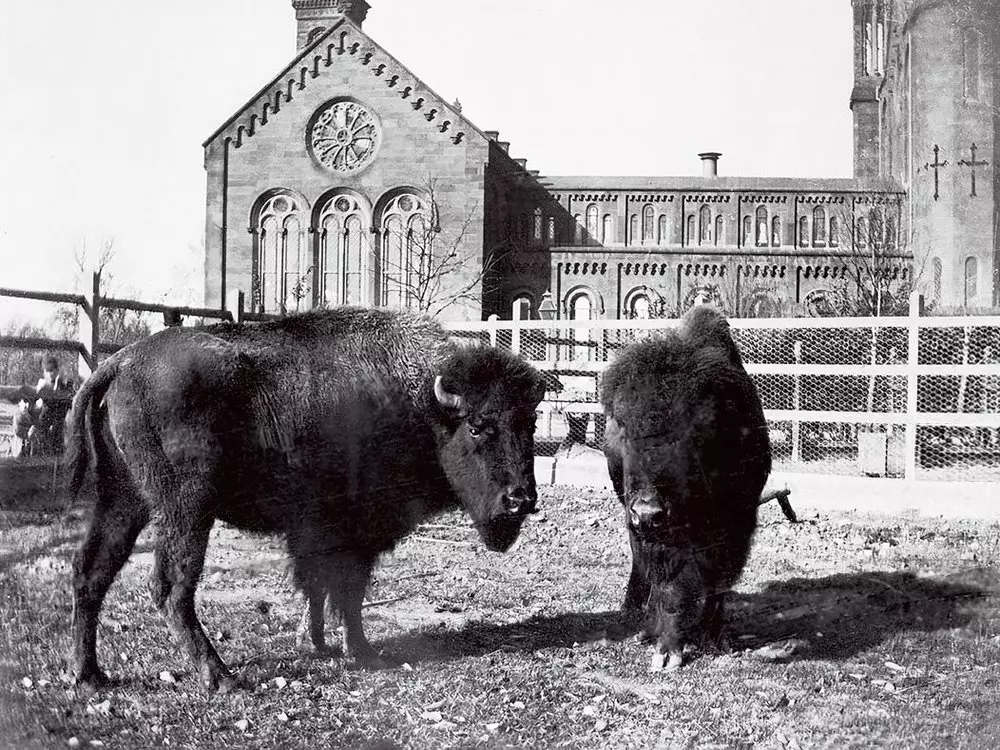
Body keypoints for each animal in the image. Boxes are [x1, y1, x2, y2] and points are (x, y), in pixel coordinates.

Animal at [66, 306, 548, 692]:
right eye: (478, 426)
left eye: (531, 423)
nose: (520, 499)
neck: (422, 406)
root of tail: (121, 362)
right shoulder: (355, 531)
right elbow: (347, 590)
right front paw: (361, 650)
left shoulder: (316, 530)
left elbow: (316, 584)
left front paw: (314, 643)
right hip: (186, 509)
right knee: (171, 585)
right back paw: (221, 677)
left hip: (123, 500)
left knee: (92, 570)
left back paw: (91, 676)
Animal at [596, 308, 768, 672]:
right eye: (623, 429)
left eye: (698, 431)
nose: (648, 512)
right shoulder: (653, 535)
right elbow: (666, 585)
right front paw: (666, 649)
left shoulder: (735, 526)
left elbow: (716, 582)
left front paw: (710, 638)